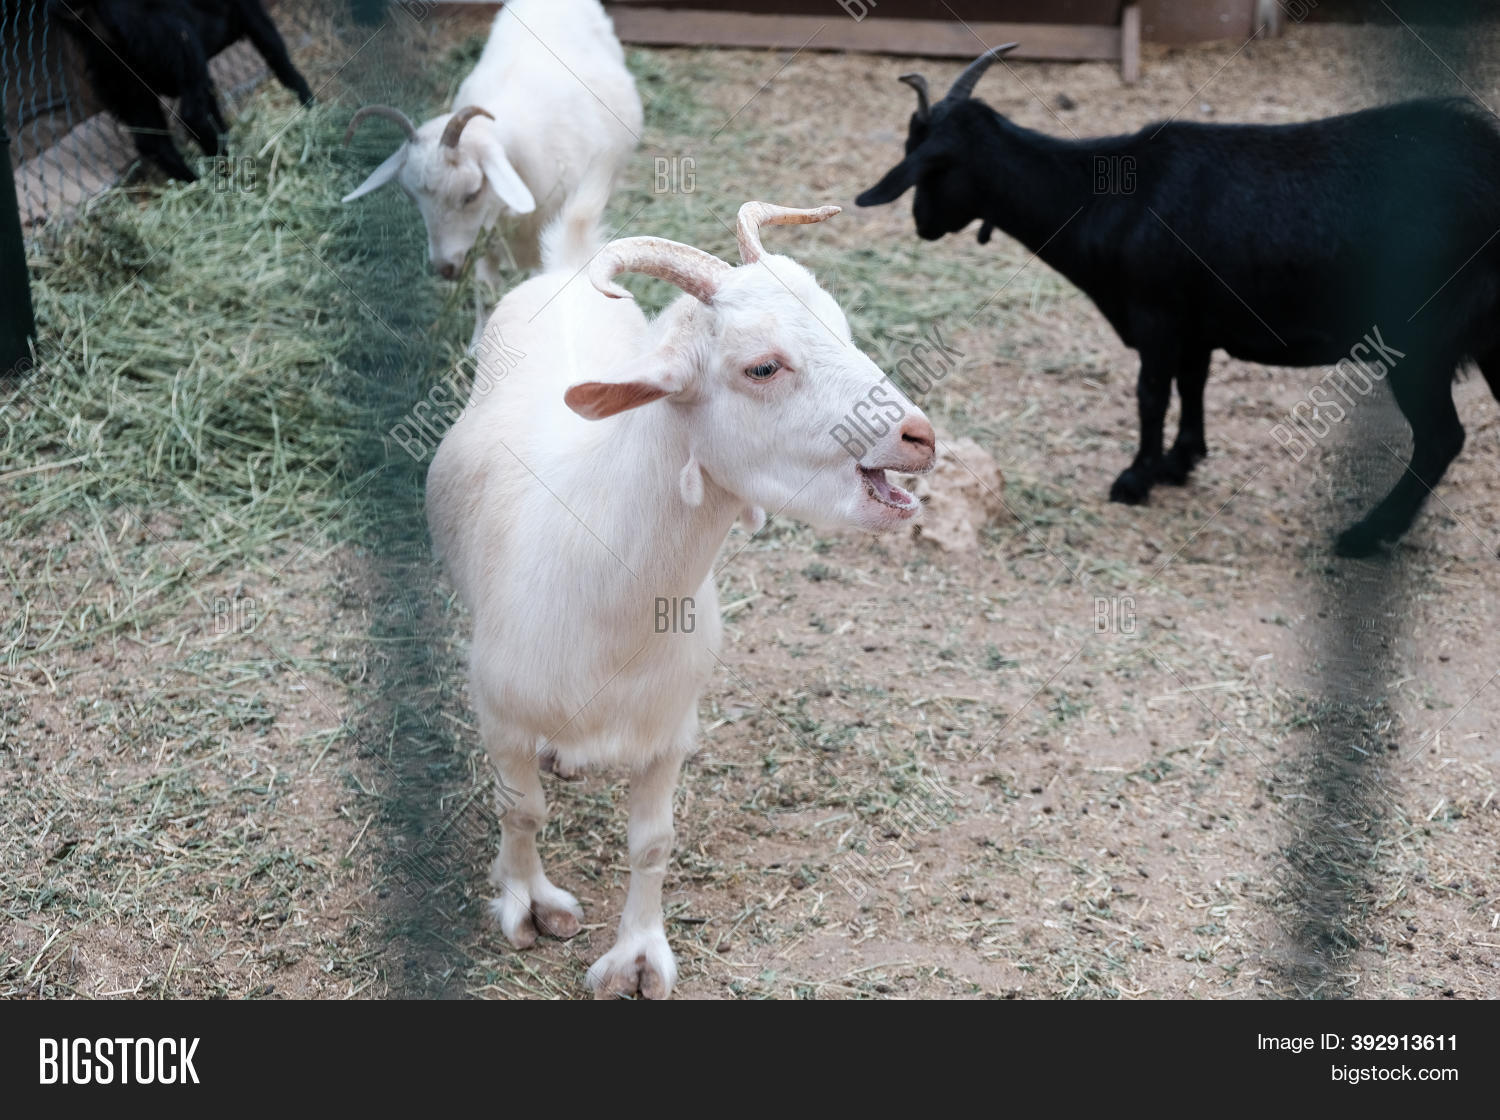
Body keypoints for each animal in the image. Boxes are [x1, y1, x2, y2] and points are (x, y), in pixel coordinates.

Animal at [53, 0, 313, 183]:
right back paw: (224, 169)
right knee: (191, 115)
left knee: (154, 140)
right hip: (175, 41)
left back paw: (194, 181)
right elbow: (275, 51)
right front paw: (309, 106)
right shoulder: (246, 11)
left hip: (120, 79)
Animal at [343, 0, 641, 347]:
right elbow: (485, 292)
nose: (445, 268)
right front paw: (477, 344)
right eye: (410, 196)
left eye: (472, 193)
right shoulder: (482, 240)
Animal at [425, 186, 936, 999]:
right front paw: (527, 905)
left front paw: (637, 957)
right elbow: (521, 811)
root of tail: (566, 265)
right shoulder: (500, 711)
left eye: (842, 326)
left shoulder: (669, 728)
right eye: (762, 367)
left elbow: (652, 841)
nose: (919, 437)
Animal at [858, 45, 1500, 557]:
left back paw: (1367, 535)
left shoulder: (1158, 318)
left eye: (927, 163)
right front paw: (1181, 461)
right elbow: (1193, 386)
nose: (921, 225)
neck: (1108, 199)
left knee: (1441, 438)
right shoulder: (1196, 324)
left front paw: (1135, 479)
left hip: (1424, 341)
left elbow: (1151, 396)